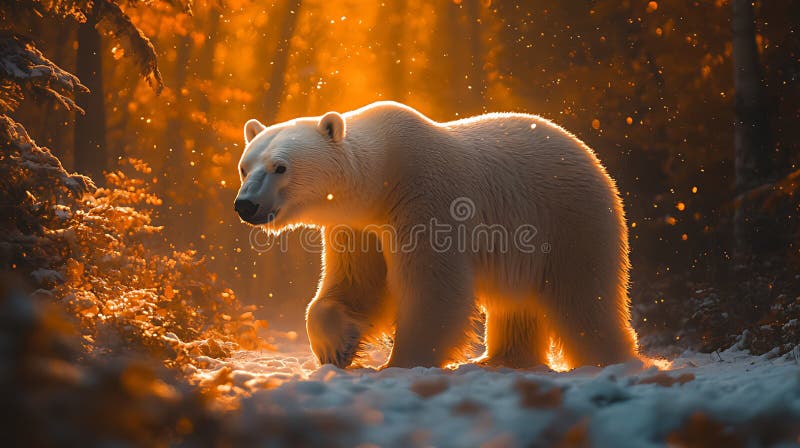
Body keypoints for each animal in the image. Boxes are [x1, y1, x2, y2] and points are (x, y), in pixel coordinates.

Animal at [234, 101, 639, 369]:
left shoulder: (426, 198)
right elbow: (357, 284)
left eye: (280, 167)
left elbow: (434, 287)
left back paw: (612, 360)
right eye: (244, 166)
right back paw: (501, 359)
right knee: (516, 302)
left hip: (569, 219)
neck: (384, 177)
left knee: (584, 296)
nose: (245, 205)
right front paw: (338, 346)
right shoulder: (359, 226)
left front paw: (400, 362)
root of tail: (590, 156)